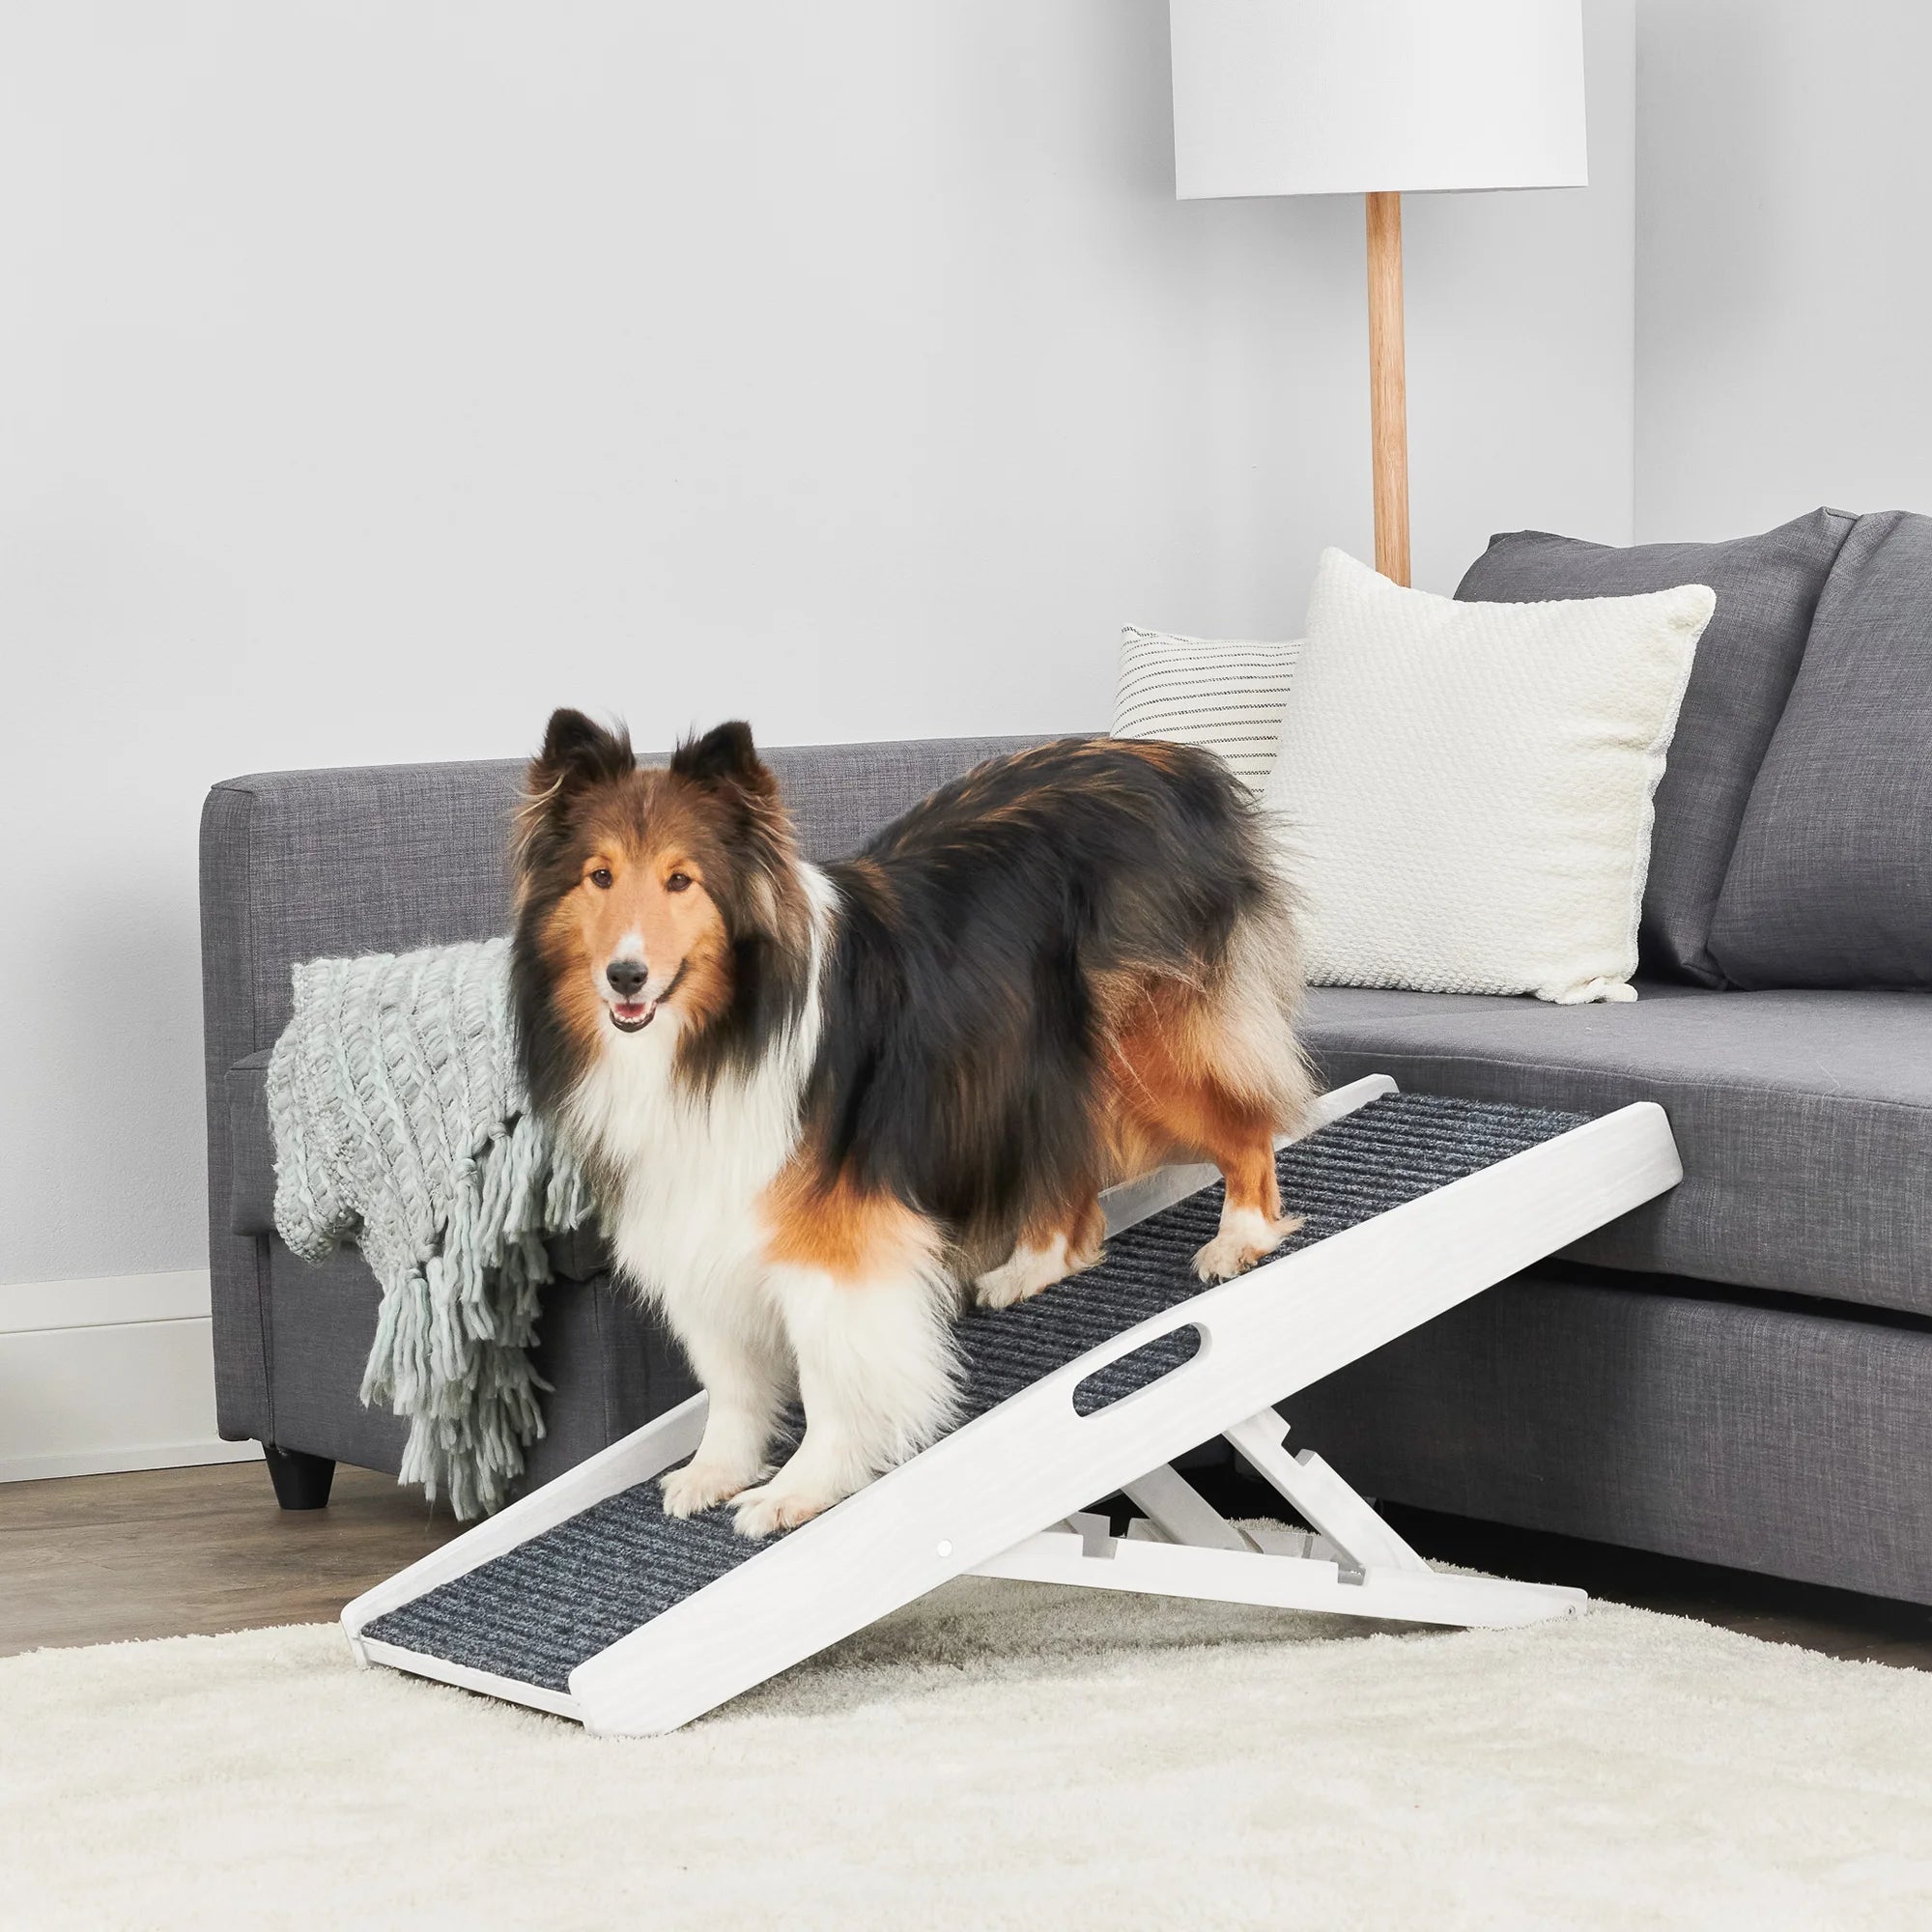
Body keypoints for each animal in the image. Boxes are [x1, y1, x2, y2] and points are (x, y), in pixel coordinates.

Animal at [510, 711, 1314, 1538]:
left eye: (681, 879)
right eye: (599, 876)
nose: (625, 976)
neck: (718, 1035)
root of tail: (1170, 761)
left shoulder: (831, 1234)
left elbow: (830, 1373)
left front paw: (802, 1487)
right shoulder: (693, 1209)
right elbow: (729, 1373)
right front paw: (716, 1470)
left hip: (1143, 1047)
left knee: (1246, 1128)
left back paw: (1240, 1238)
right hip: (1040, 1066)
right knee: (1069, 1173)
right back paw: (1033, 1267)